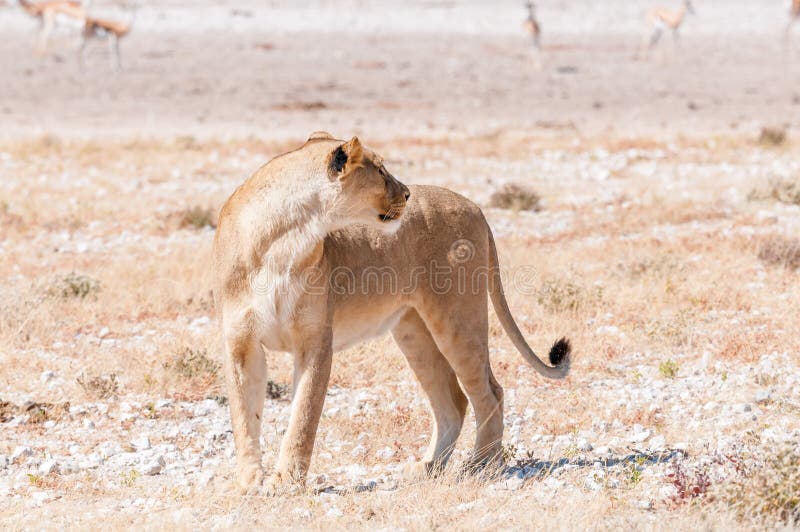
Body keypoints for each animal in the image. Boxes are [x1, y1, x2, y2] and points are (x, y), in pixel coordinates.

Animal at [213, 132, 571, 494]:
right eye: (381, 170)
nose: (408, 193)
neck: (286, 240)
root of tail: (477, 207)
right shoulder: (241, 344)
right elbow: (244, 416)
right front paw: (249, 482)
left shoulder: (314, 341)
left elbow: (303, 416)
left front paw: (285, 481)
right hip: (413, 331)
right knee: (453, 401)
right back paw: (429, 468)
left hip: (456, 319)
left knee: (489, 392)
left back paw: (481, 466)